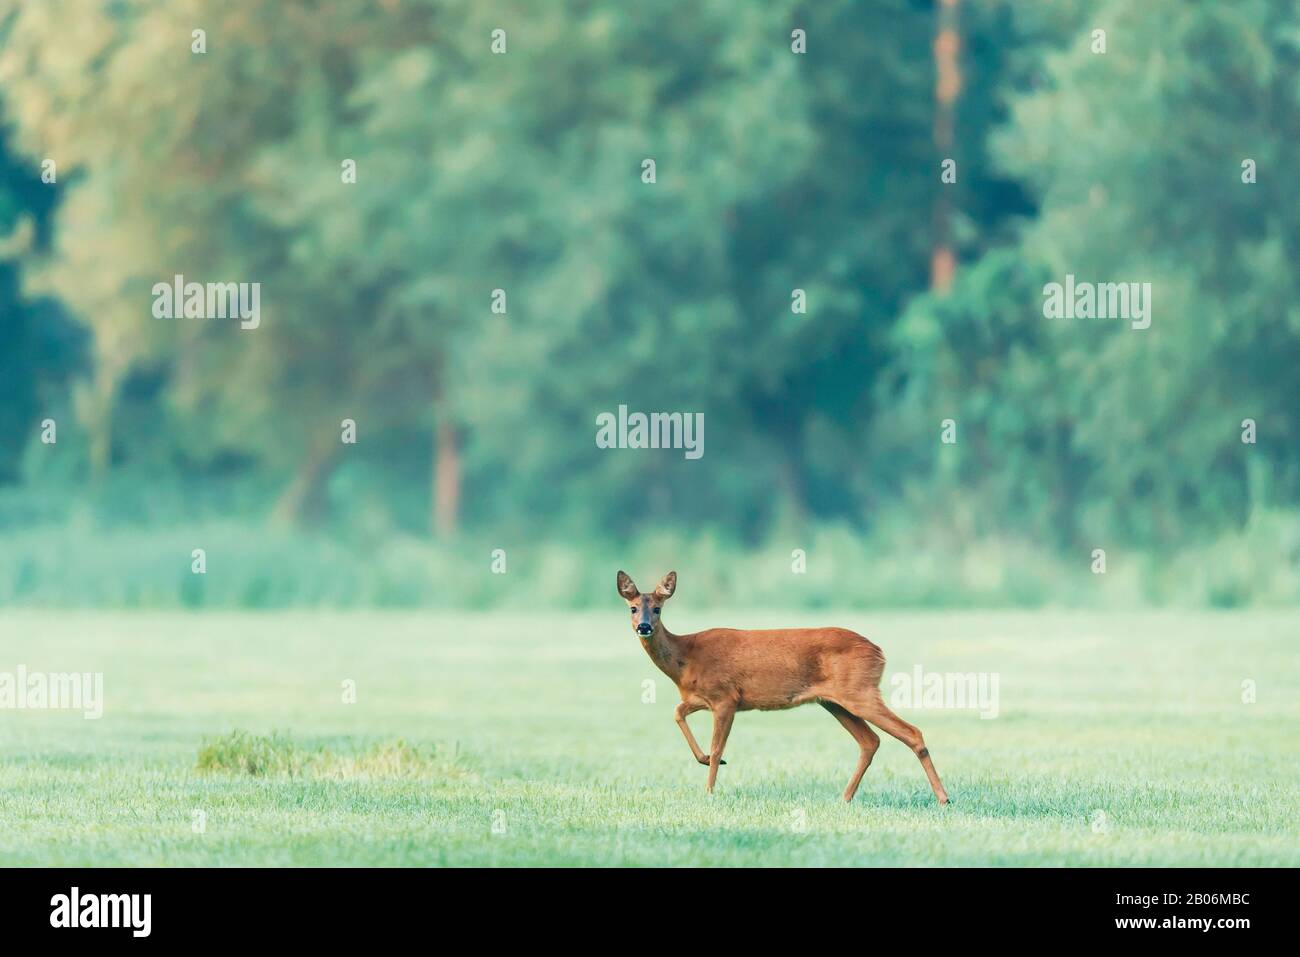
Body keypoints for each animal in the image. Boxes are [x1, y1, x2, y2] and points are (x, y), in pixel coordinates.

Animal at [617, 570, 949, 804]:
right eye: (633, 608)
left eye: (657, 609)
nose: (643, 627)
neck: (685, 658)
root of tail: (879, 651)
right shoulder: (700, 697)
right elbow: (677, 712)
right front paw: (704, 762)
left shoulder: (726, 698)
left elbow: (717, 745)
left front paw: (709, 790)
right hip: (835, 702)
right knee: (870, 741)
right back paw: (844, 798)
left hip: (860, 691)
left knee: (912, 732)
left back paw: (943, 798)